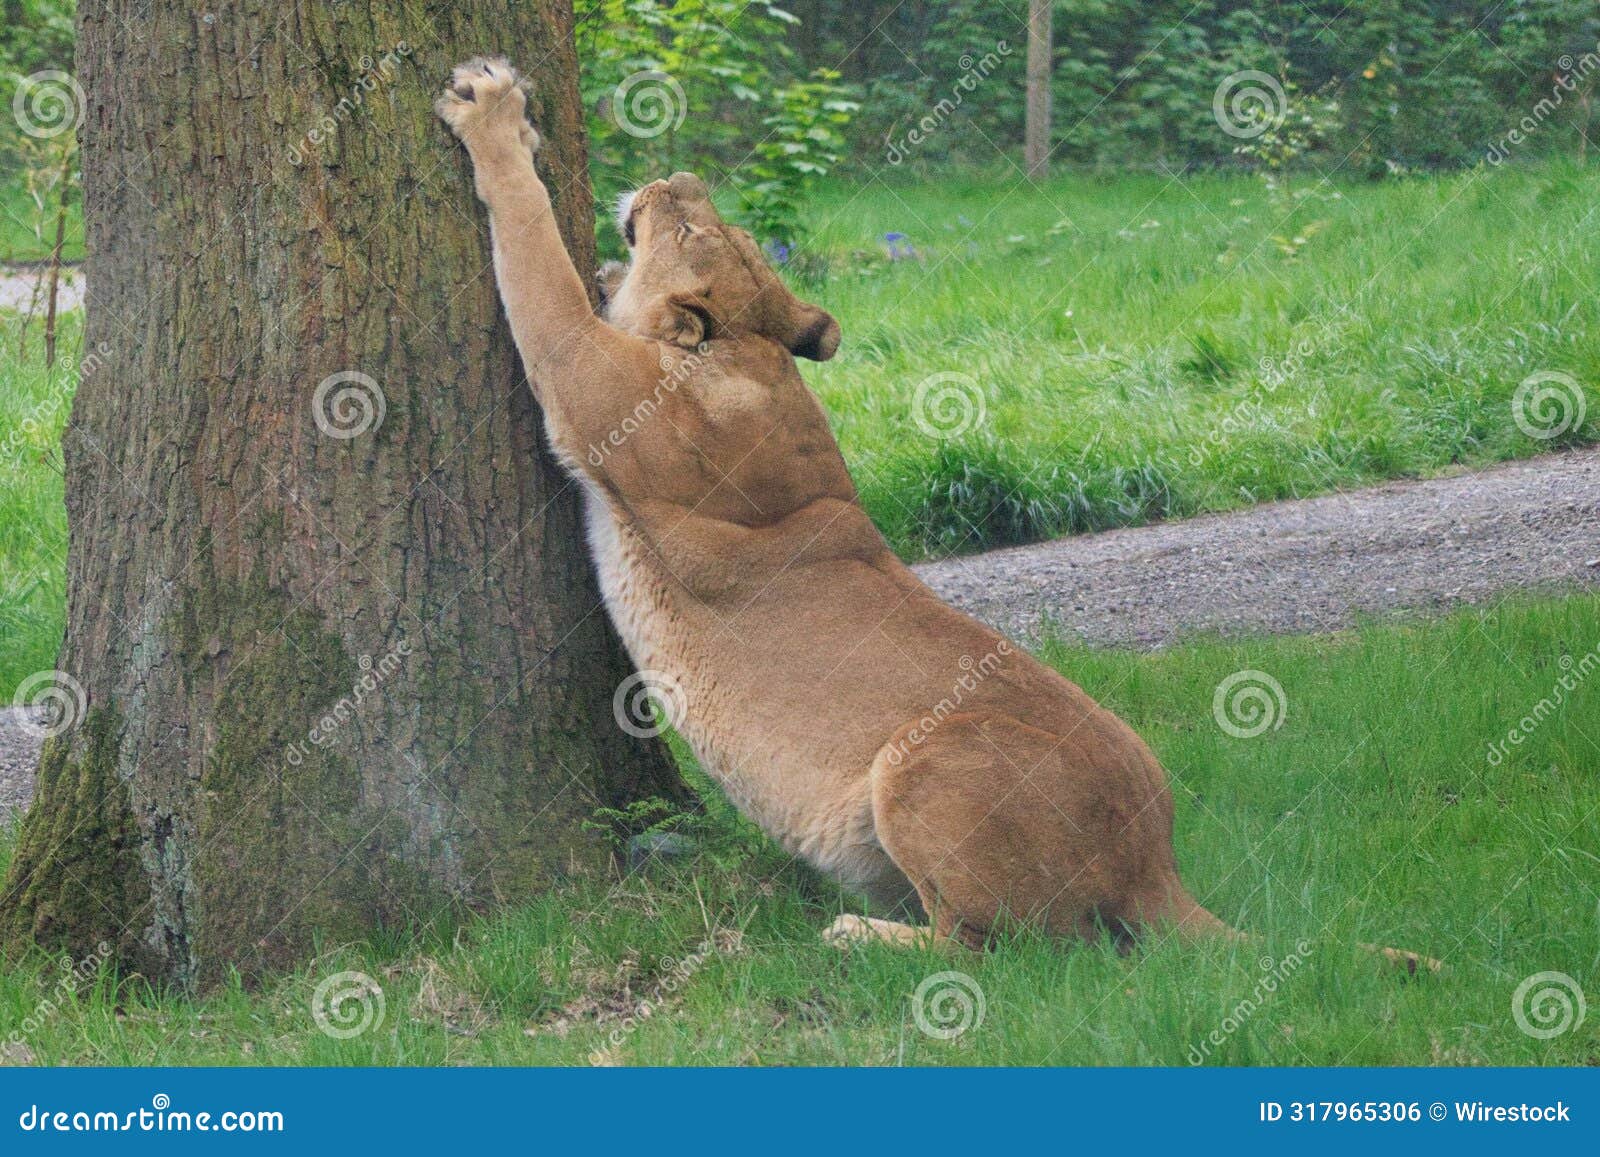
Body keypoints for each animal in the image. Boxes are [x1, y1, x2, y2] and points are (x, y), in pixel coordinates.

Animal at [435, 59, 1435, 971]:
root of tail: (1156, 863)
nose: (674, 176)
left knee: (999, 949)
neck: (753, 350)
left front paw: (491, 109)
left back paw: (858, 934)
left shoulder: (584, 379)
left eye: (687, 225)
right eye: (716, 222)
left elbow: (535, 255)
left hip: (924, 756)